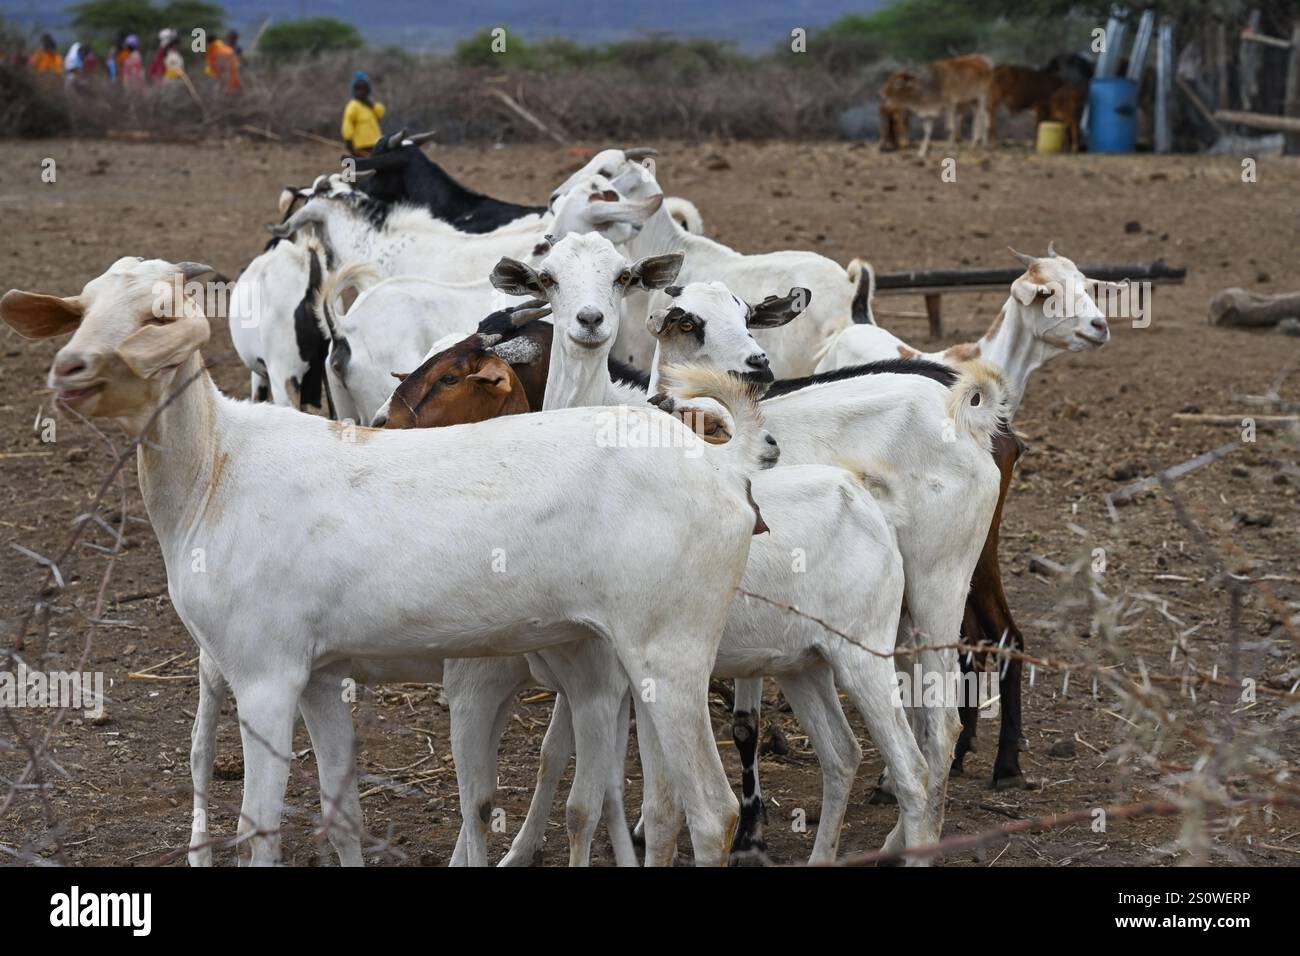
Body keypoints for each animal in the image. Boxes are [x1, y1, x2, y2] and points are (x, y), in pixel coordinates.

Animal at [3, 255, 775, 866]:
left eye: (158, 313)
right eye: (80, 310)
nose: (69, 368)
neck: (216, 470)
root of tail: (723, 465)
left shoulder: (264, 674)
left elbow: (259, 831)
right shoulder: (317, 674)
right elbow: (341, 814)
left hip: (672, 649)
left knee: (714, 811)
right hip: (624, 657)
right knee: (663, 807)